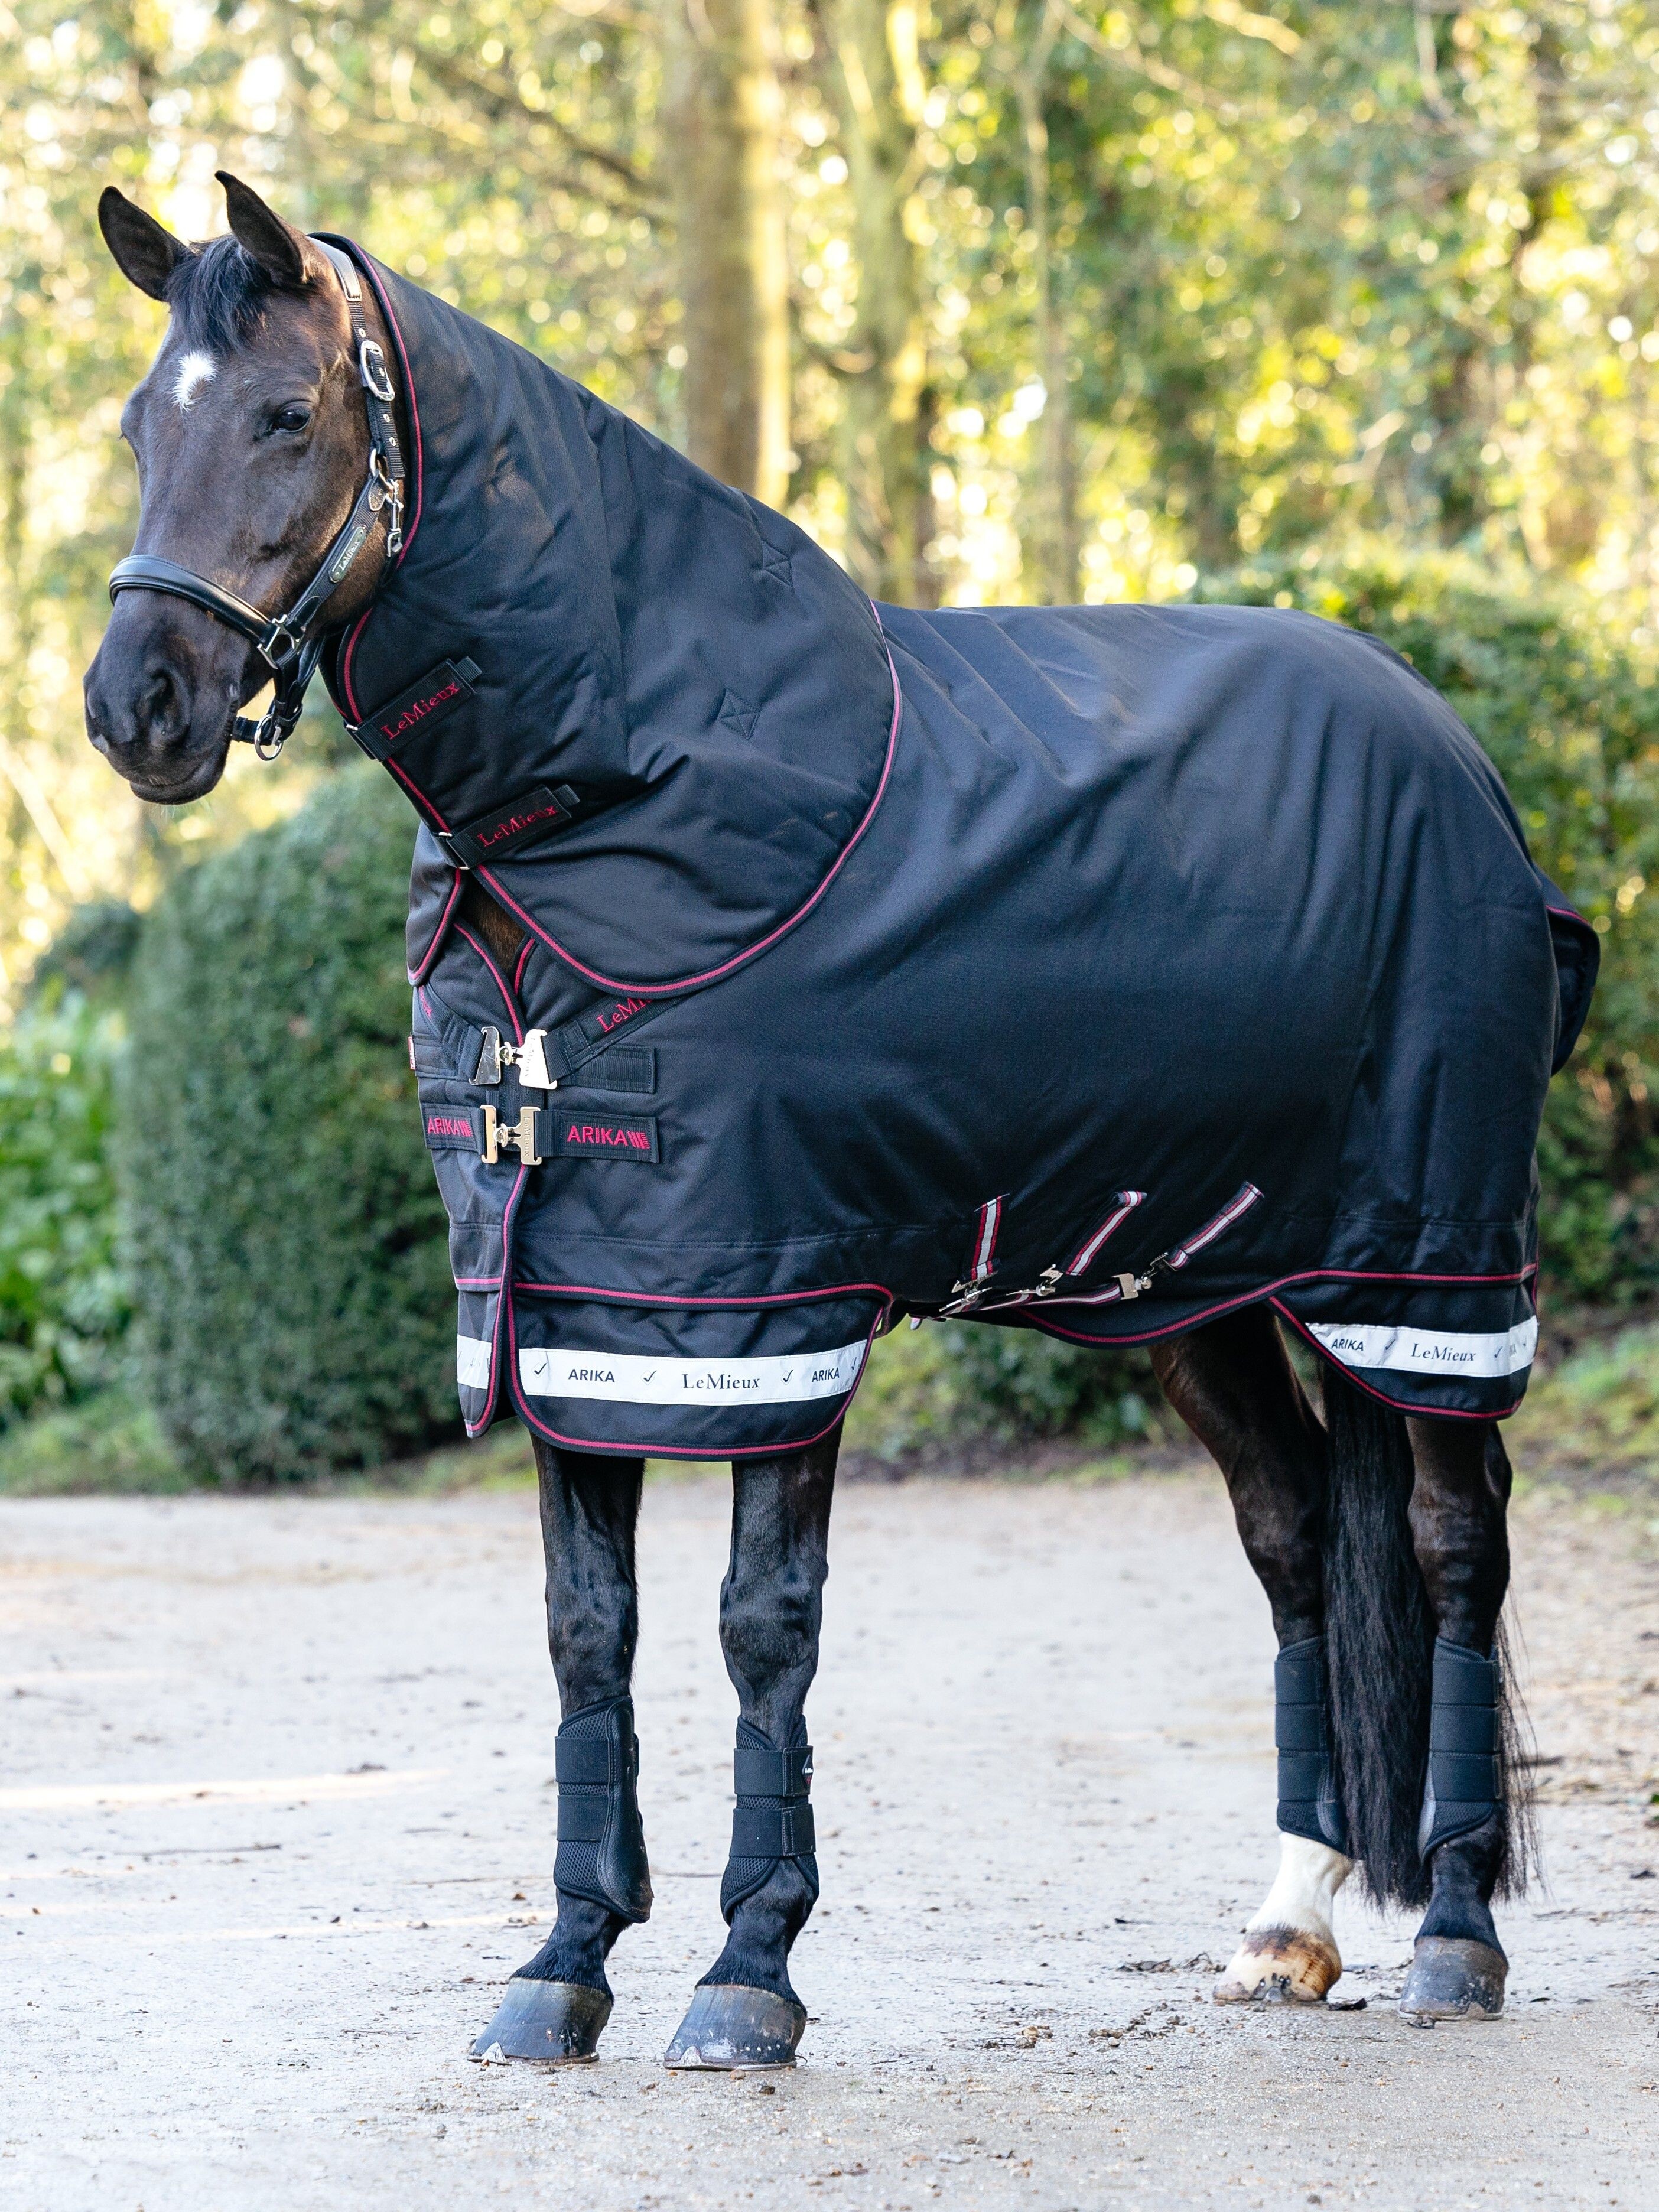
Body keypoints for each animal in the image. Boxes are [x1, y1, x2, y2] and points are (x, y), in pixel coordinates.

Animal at [84, 173, 1590, 2070]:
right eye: (140, 424)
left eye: (288, 414)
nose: (135, 705)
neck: (636, 792)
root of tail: (1460, 758)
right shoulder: (570, 1311)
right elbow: (589, 1632)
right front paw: (563, 1963)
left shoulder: (774, 1304)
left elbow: (758, 1626)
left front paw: (746, 1969)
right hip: (1204, 1289)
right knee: (1302, 1538)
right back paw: (1290, 1918)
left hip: (1425, 1272)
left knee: (1459, 1543)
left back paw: (1458, 1931)